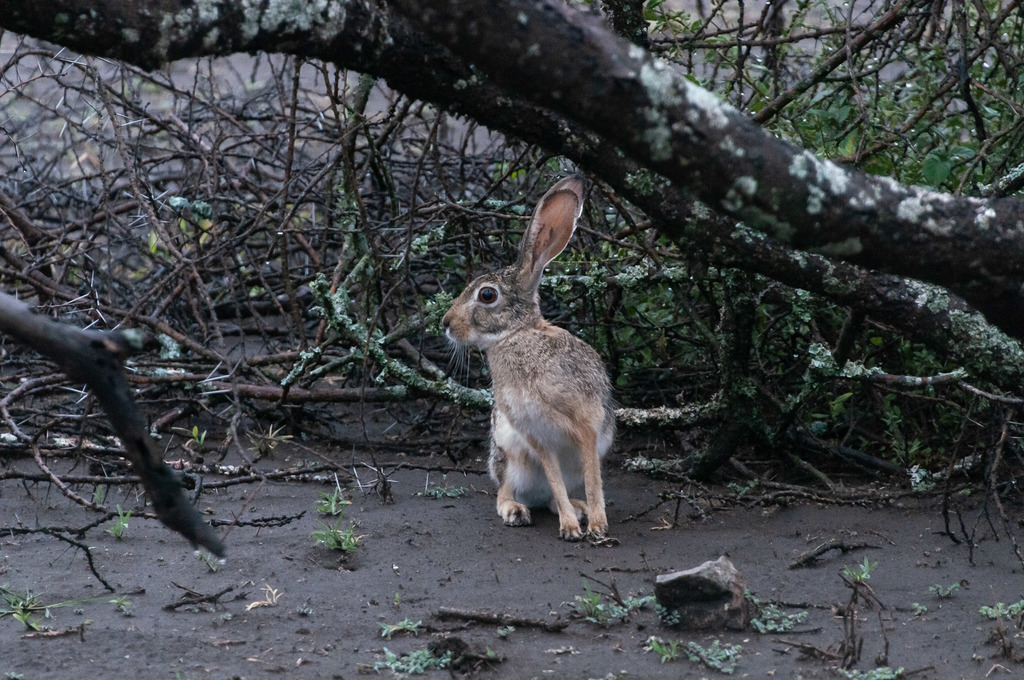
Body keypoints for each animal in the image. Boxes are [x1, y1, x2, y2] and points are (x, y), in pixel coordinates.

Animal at [442, 175, 615, 541]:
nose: (446, 324)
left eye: (487, 295)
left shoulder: (587, 426)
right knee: (507, 489)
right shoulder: (536, 436)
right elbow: (553, 476)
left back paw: (579, 510)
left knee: (555, 493)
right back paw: (517, 510)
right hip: (510, 451)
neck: (515, 335)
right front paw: (571, 529)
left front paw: (596, 525)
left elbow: (593, 478)